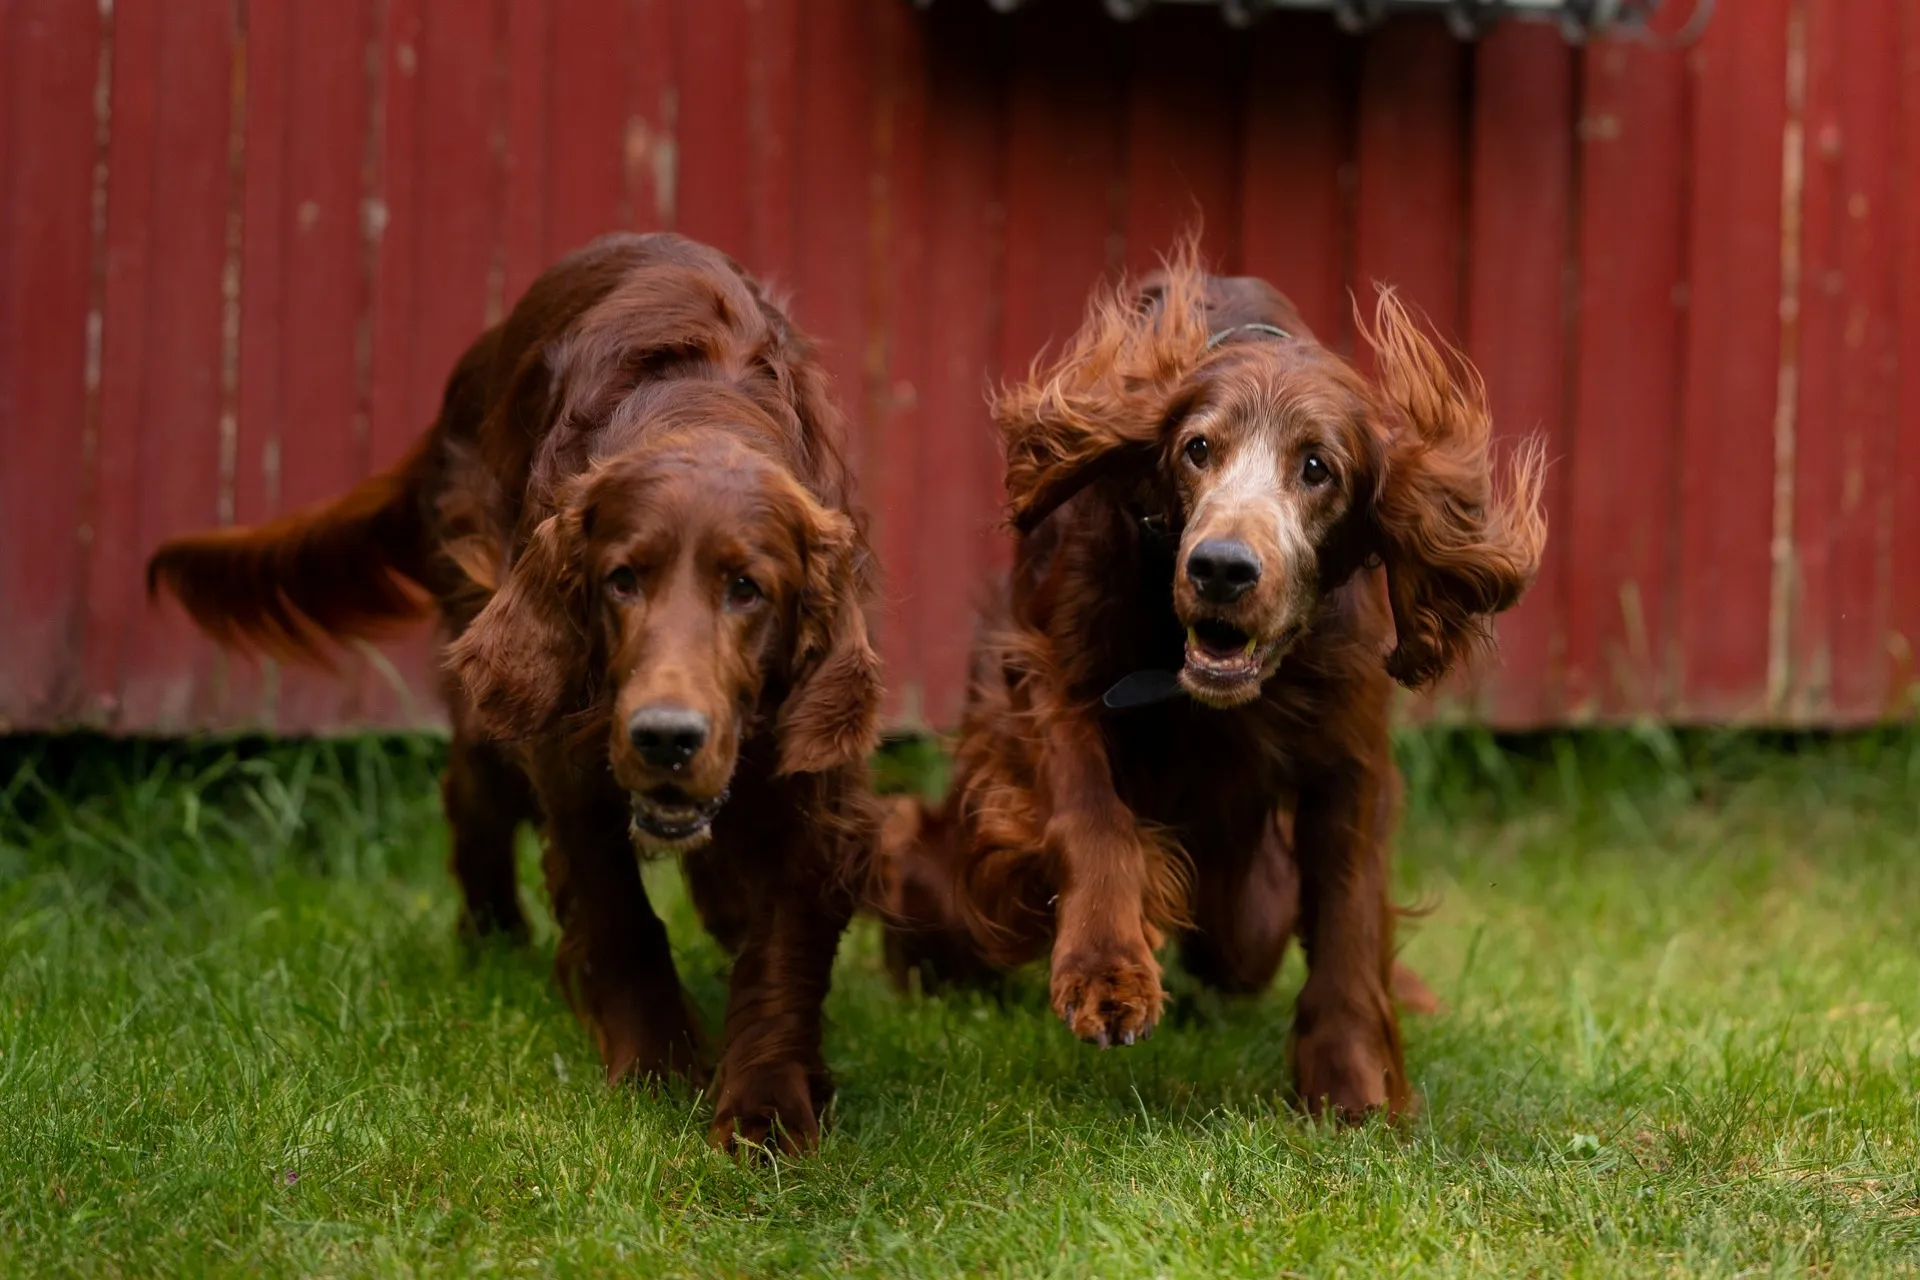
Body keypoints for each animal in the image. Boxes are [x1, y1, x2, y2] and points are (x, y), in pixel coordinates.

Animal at [149, 235, 883, 1159]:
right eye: (622, 580)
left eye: (746, 588)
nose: (666, 738)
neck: (701, 403)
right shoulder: (572, 755)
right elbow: (619, 915)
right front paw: (661, 1065)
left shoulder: (812, 771)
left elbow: (783, 944)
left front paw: (769, 1103)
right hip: (499, 666)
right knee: (470, 790)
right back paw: (494, 933)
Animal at [883, 249, 1543, 1120]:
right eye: (1197, 449)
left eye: (1317, 468)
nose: (1222, 568)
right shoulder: (1046, 673)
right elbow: (1091, 813)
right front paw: (1106, 970)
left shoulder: (1348, 751)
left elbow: (1348, 913)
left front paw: (1351, 1085)